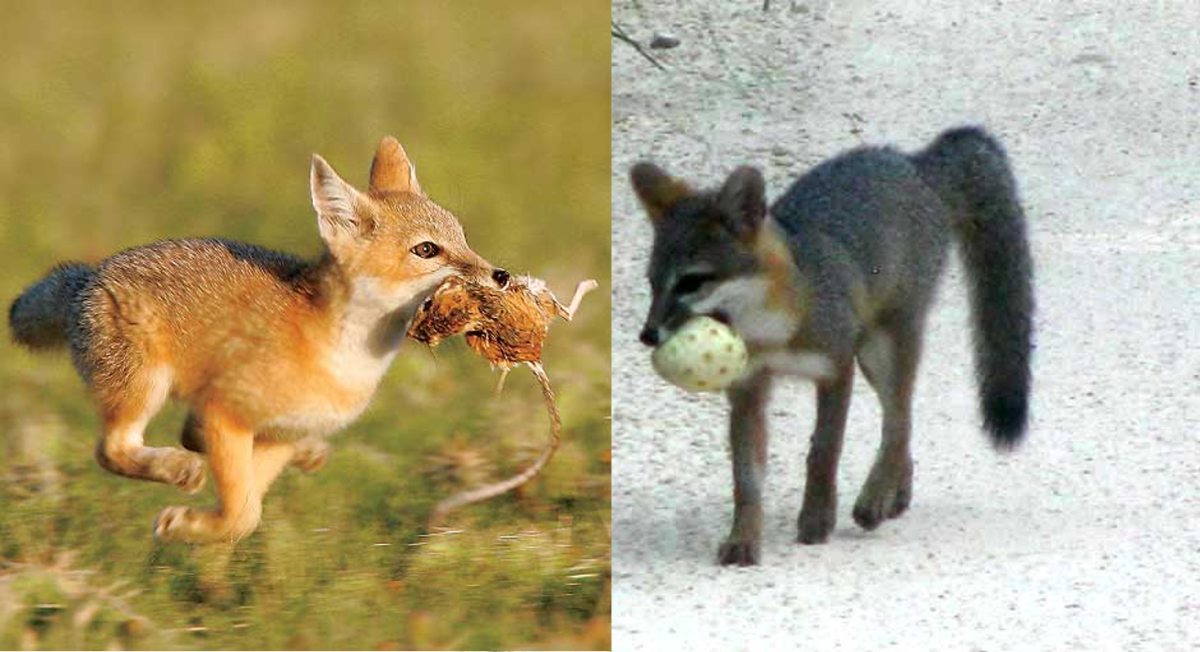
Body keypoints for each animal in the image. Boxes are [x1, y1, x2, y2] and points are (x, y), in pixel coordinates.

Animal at [8, 136, 509, 543]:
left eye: (463, 239)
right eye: (427, 250)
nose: (500, 275)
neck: (341, 359)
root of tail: (91, 273)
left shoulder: (280, 433)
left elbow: (249, 509)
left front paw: (198, 526)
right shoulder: (225, 414)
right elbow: (243, 514)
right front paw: (189, 526)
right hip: (141, 389)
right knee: (112, 449)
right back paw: (176, 465)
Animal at [631, 126, 1034, 566]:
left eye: (691, 282)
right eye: (653, 283)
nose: (647, 334)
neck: (774, 335)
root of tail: (915, 162)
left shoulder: (836, 369)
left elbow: (824, 451)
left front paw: (817, 517)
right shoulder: (749, 392)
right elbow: (746, 480)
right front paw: (743, 538)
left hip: (878, 351)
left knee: (899, 421)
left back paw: (875, 496)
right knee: (900, 423)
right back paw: (896, 492)